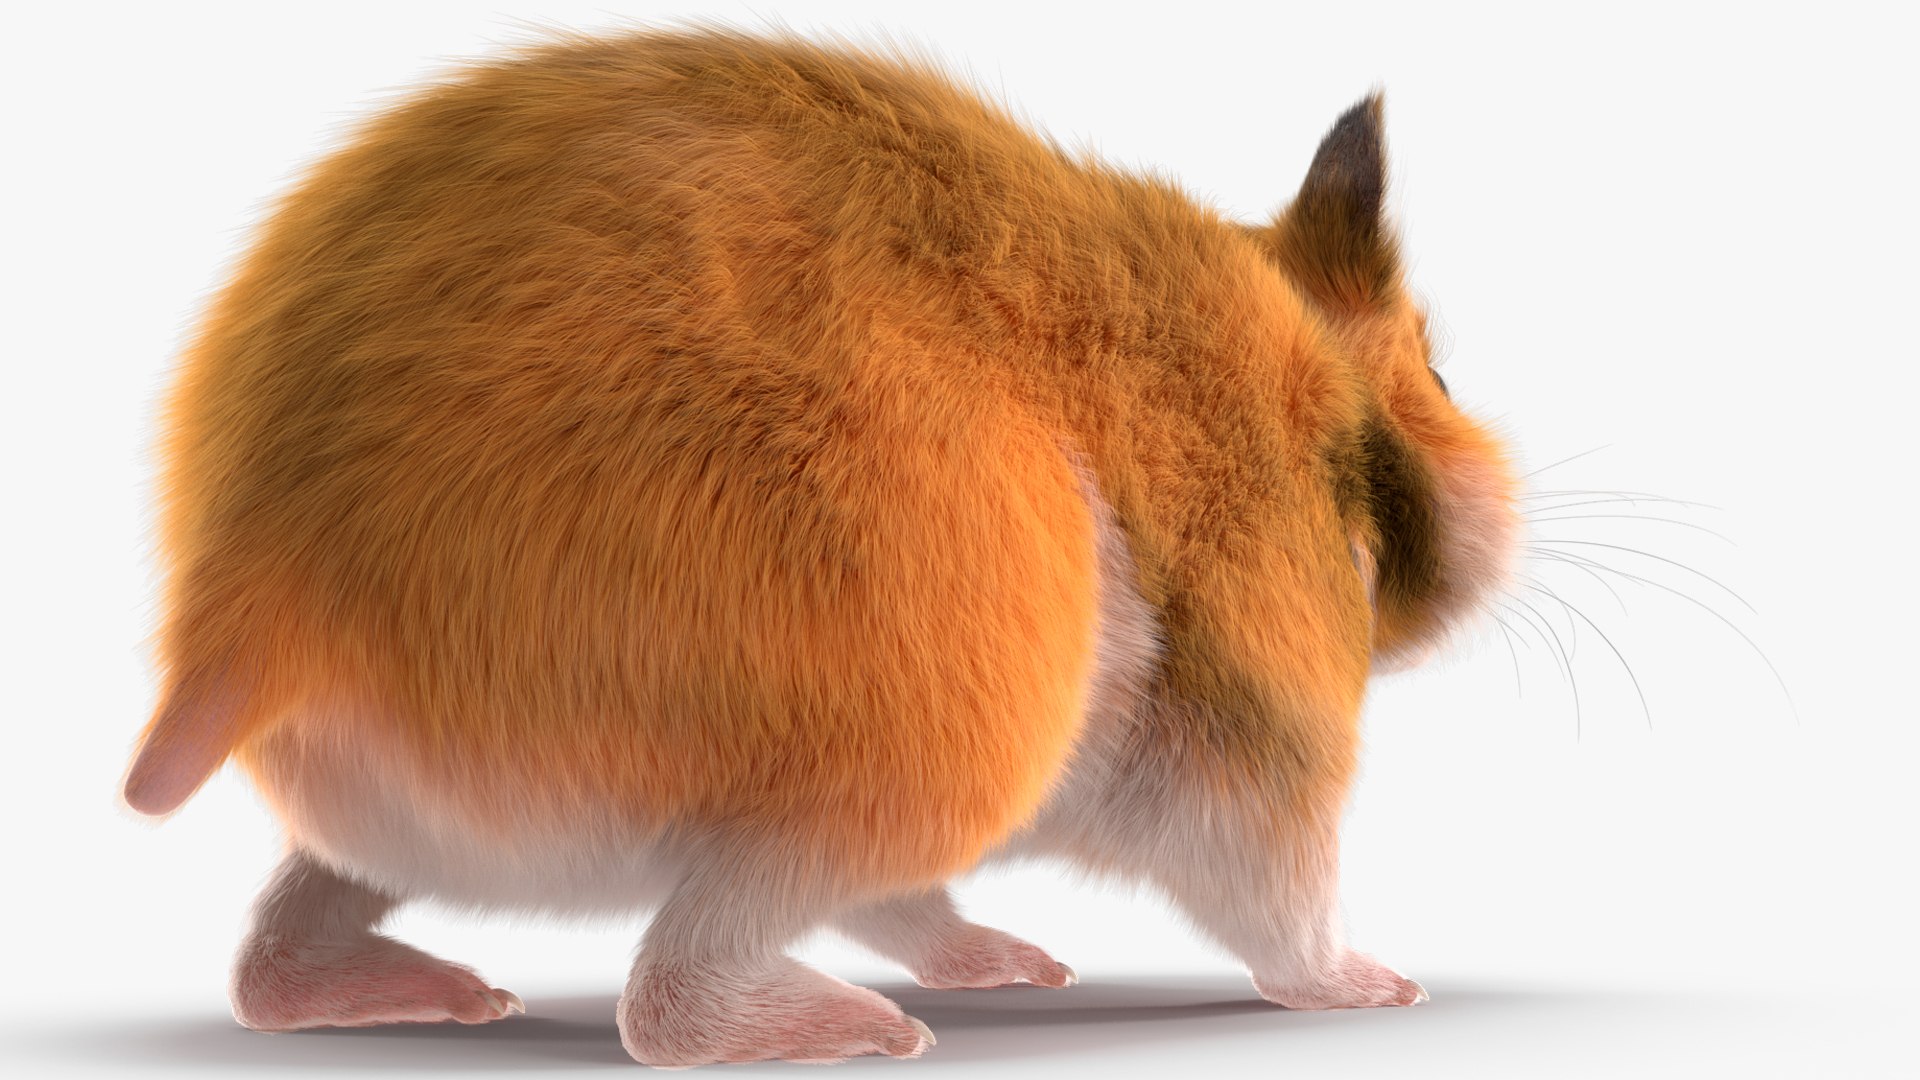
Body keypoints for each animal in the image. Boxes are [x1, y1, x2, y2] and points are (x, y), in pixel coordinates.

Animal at [123, 28, 1519, 1067]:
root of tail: (256, 605)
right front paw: (1377, 988)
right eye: (1446, 375)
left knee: (283, 938)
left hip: (403, 812)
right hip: (932, 755)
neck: (1322, 428)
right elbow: (1286, 906)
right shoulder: (1270, 731)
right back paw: (866, 1027)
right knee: (671, 994)